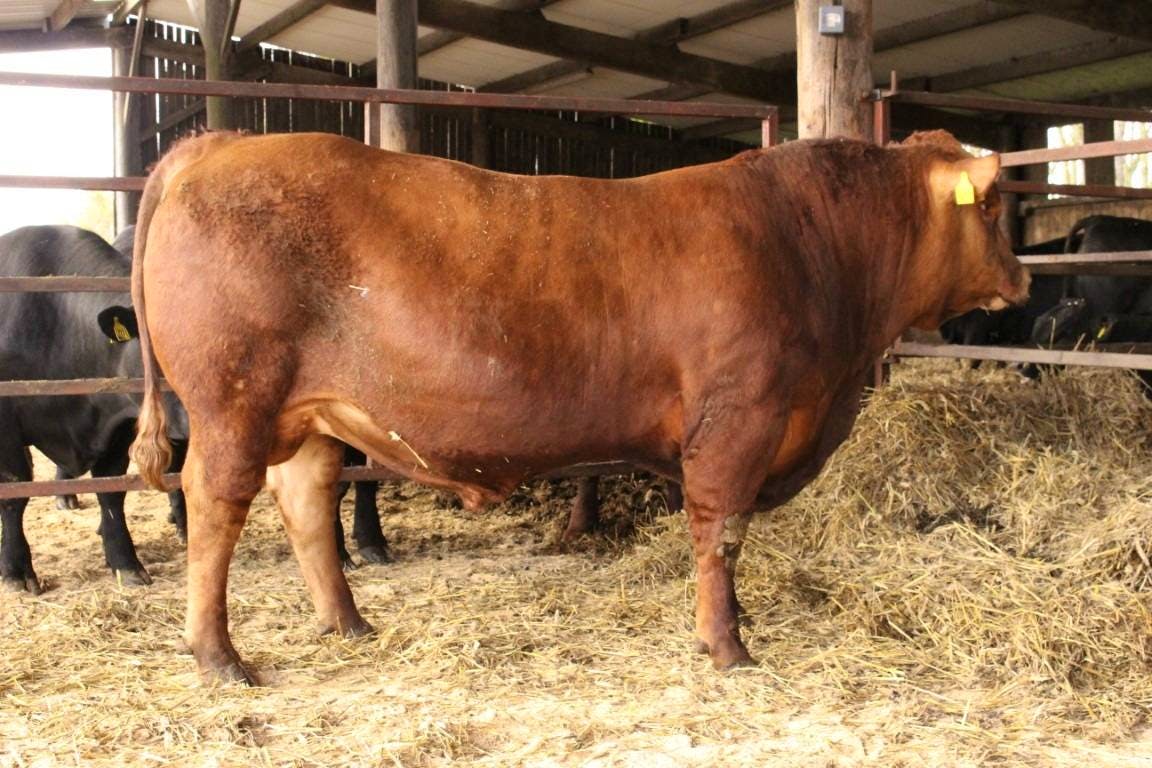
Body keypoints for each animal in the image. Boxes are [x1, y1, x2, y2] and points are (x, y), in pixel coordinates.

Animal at [0, 225, 189, 592]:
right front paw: (16, 570)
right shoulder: (6, 429)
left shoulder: (119, 421)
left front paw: (125, 562)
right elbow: (15, 493)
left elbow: (111, 491)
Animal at [127, 129, 1028, 684]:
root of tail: (223, 143)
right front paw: (727, 646)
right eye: (990, 205)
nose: (1021, 278)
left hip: (312, 414)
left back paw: (346, 622)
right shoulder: (739, 419)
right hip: (234, 400)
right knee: (216, 505)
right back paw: (218, 656)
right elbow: (721, 533)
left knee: (306, 501)